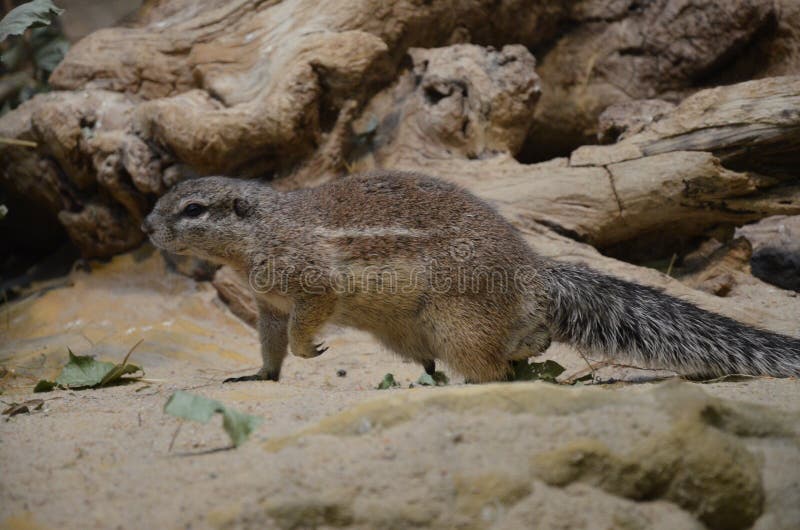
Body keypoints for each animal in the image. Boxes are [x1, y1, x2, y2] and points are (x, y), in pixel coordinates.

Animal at [142, 170, 800, 383]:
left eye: (193, 209)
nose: (148, 226)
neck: (264, 231)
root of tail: (533, 267)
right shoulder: (269, 305)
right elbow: (269, 345)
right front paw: (258, 375)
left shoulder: (312, 282)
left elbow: (307, 325)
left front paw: (311, 350)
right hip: (413, 332)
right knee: (510, 348)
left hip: (457, 318)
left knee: (491, 368)